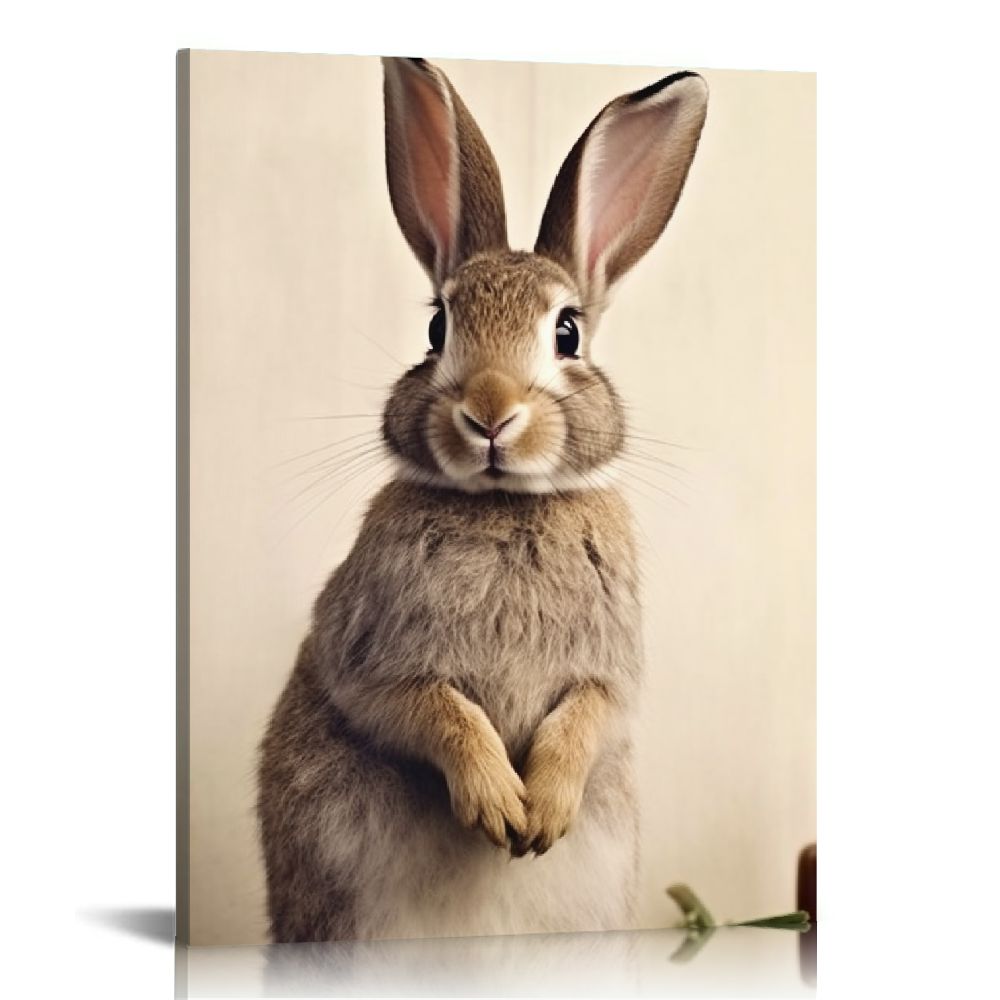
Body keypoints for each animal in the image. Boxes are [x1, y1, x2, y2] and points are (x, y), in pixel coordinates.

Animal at [257, 56, 708, 943]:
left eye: (568, 332)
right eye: (438, 329)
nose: (491, 412)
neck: (507, 505)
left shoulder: (609, 677)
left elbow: (586, 718)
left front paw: (542, 812)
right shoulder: (374, 663)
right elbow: (438, 712)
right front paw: (500, 807)